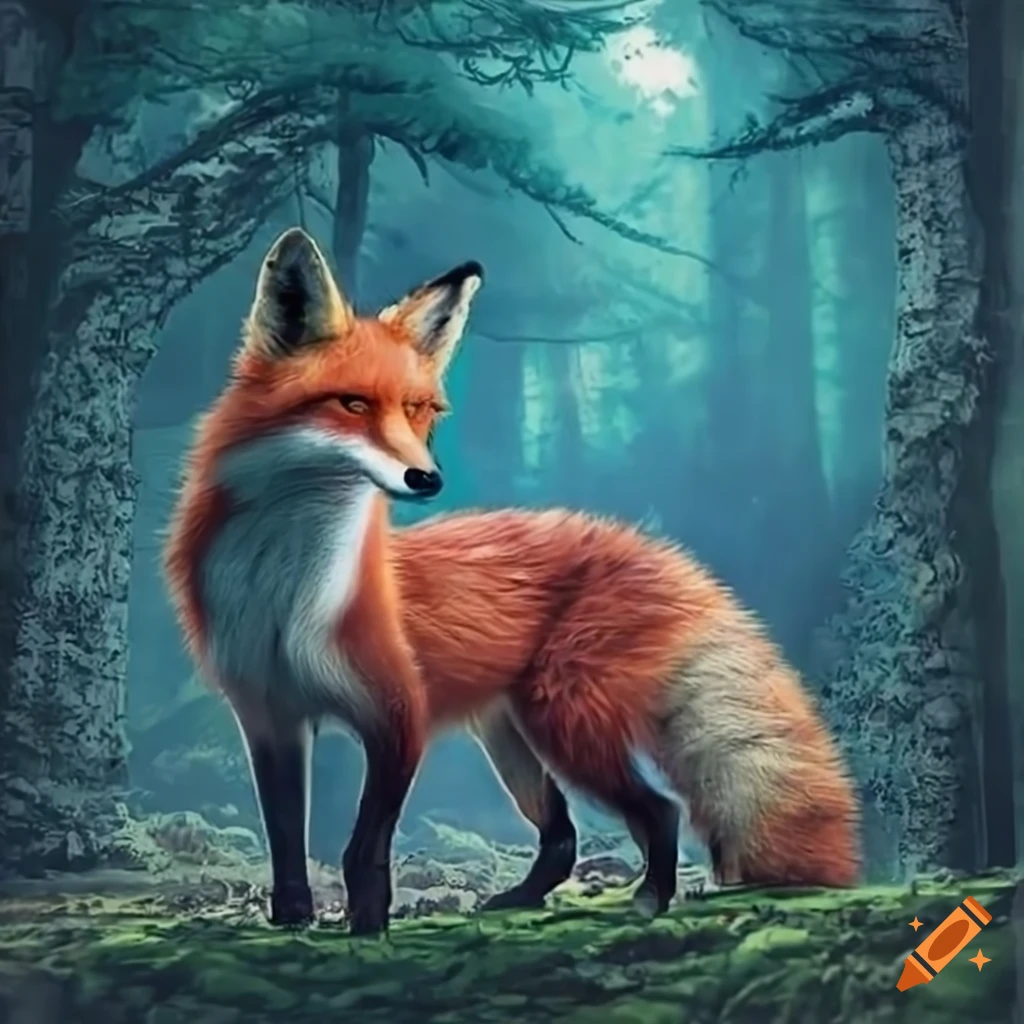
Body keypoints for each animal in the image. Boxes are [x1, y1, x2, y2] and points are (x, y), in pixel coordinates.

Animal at [163, 227, 860, 936]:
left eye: (419, 410)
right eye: (352, 404)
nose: (427, 479)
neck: (281, 593)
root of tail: (640, 540)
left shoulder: (397, 715)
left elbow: (364, 850)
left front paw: (368, 927)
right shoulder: (269, 717)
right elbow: (285, 843)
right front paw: (292, 921)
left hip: (564, 721)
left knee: (659, 809)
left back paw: (648, 899)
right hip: (510, 735)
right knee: (563, 837)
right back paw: (524, 899)